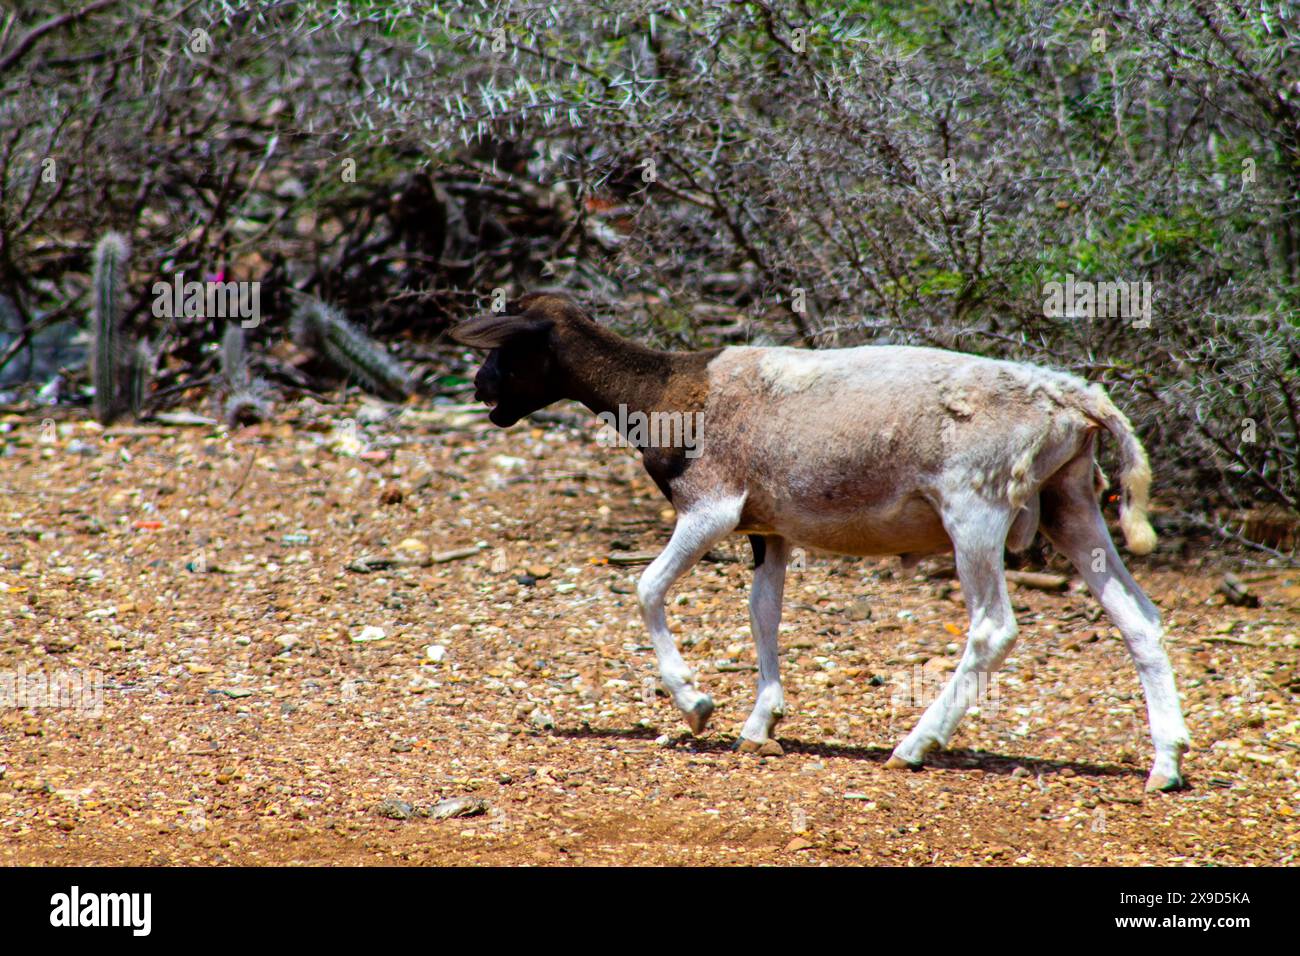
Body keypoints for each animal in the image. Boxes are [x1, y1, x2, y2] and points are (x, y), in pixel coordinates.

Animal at [451, 291, 1191, 791]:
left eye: (508, 346)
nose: (482, 390)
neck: (662, 390)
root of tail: (1077, 400)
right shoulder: (768, 529)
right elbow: (764, 613)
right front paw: (760, 727)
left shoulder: (711, 507)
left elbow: (646, 588)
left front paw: (696, 705)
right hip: (1071, 501)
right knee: (1139, 617)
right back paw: (1167, 764)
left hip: (975, 507)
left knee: (992, 628)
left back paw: (914, 744)